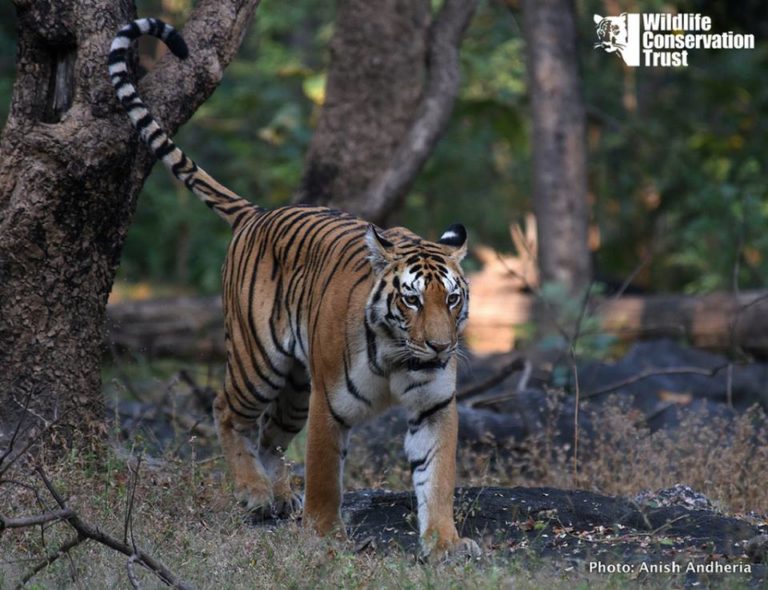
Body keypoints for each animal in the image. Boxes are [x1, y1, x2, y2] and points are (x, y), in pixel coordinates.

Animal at [109, 18, 479, 559]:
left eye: (451, 299)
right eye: (411, 299)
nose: (439, 347)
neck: (399, 356)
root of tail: (256, 212)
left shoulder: (434, 406)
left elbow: (438, 476)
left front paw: (445, 543)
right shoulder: (330, 403)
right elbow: (325, 473)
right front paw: (323, 535)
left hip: (296, 387)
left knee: (269, 436)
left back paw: (280, 494)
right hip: (257, 362)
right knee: (227, 411)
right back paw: (255, 494)